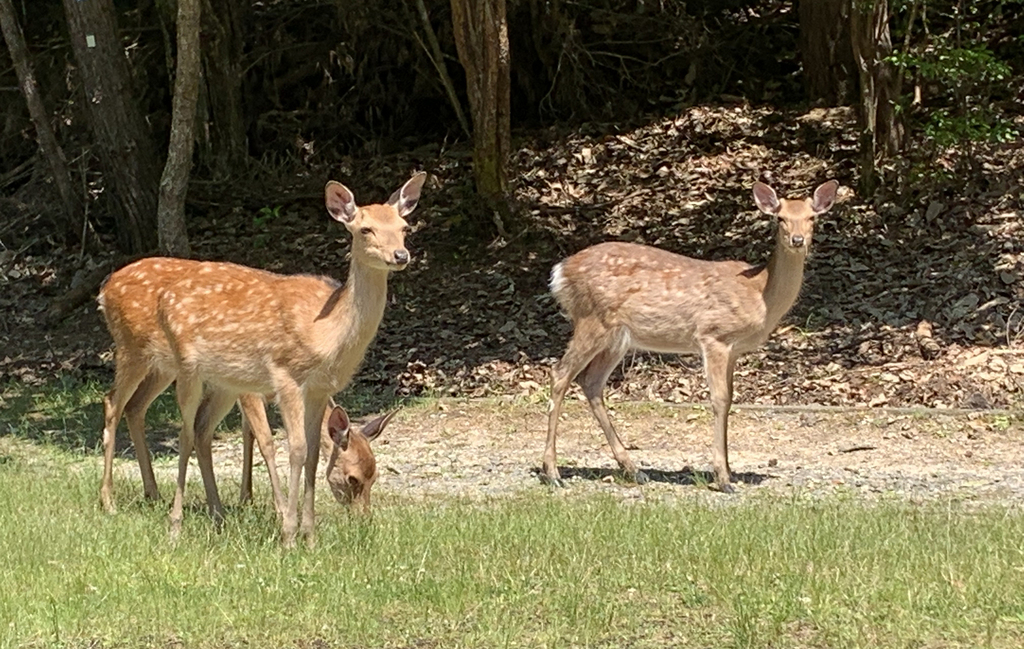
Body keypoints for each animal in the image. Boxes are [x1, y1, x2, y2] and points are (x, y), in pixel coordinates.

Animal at [542, 179, 839, 493]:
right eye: (780, 218)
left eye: (812, 217)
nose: (797, 240)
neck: (761, 293)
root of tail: (560, 272)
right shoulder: (713, 335)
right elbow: (719, 399)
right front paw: (723, 478)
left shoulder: (734, 349)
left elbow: (730, 399)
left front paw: (729, 471)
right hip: (592, 319)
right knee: (560, 374)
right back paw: (553, 472)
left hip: (617, 337)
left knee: (591, 383)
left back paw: (633, 470)